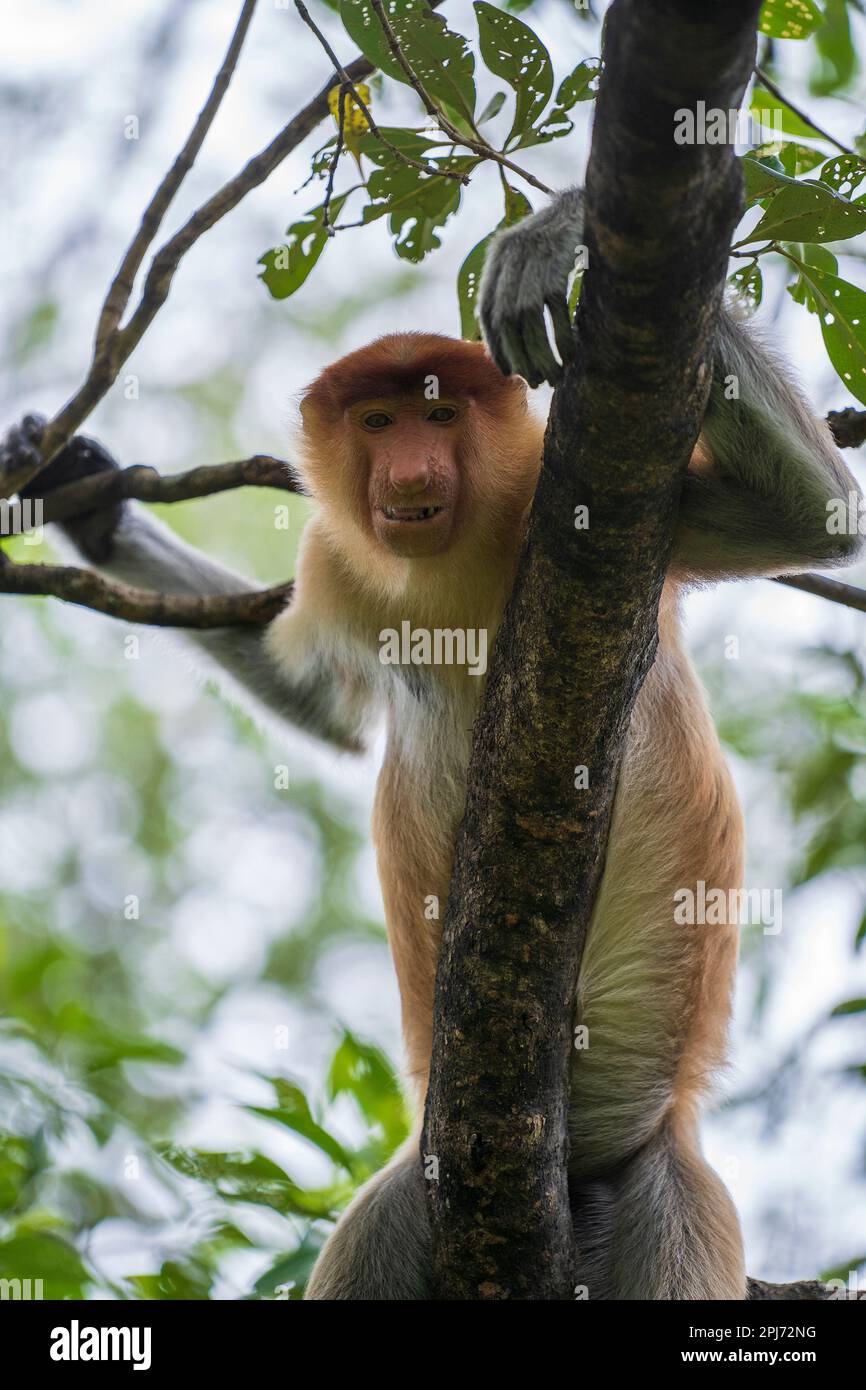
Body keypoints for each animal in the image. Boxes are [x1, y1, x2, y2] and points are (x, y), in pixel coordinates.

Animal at [2, 186, 861, 1300]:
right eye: (379, 420)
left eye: (441, 414)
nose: (410, 472)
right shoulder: (336, 563)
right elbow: (317, 695)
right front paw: (90, 496)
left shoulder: (585, 487)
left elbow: (814, 517)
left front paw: (557, 232)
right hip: (424, 1184)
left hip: (660, 1186)